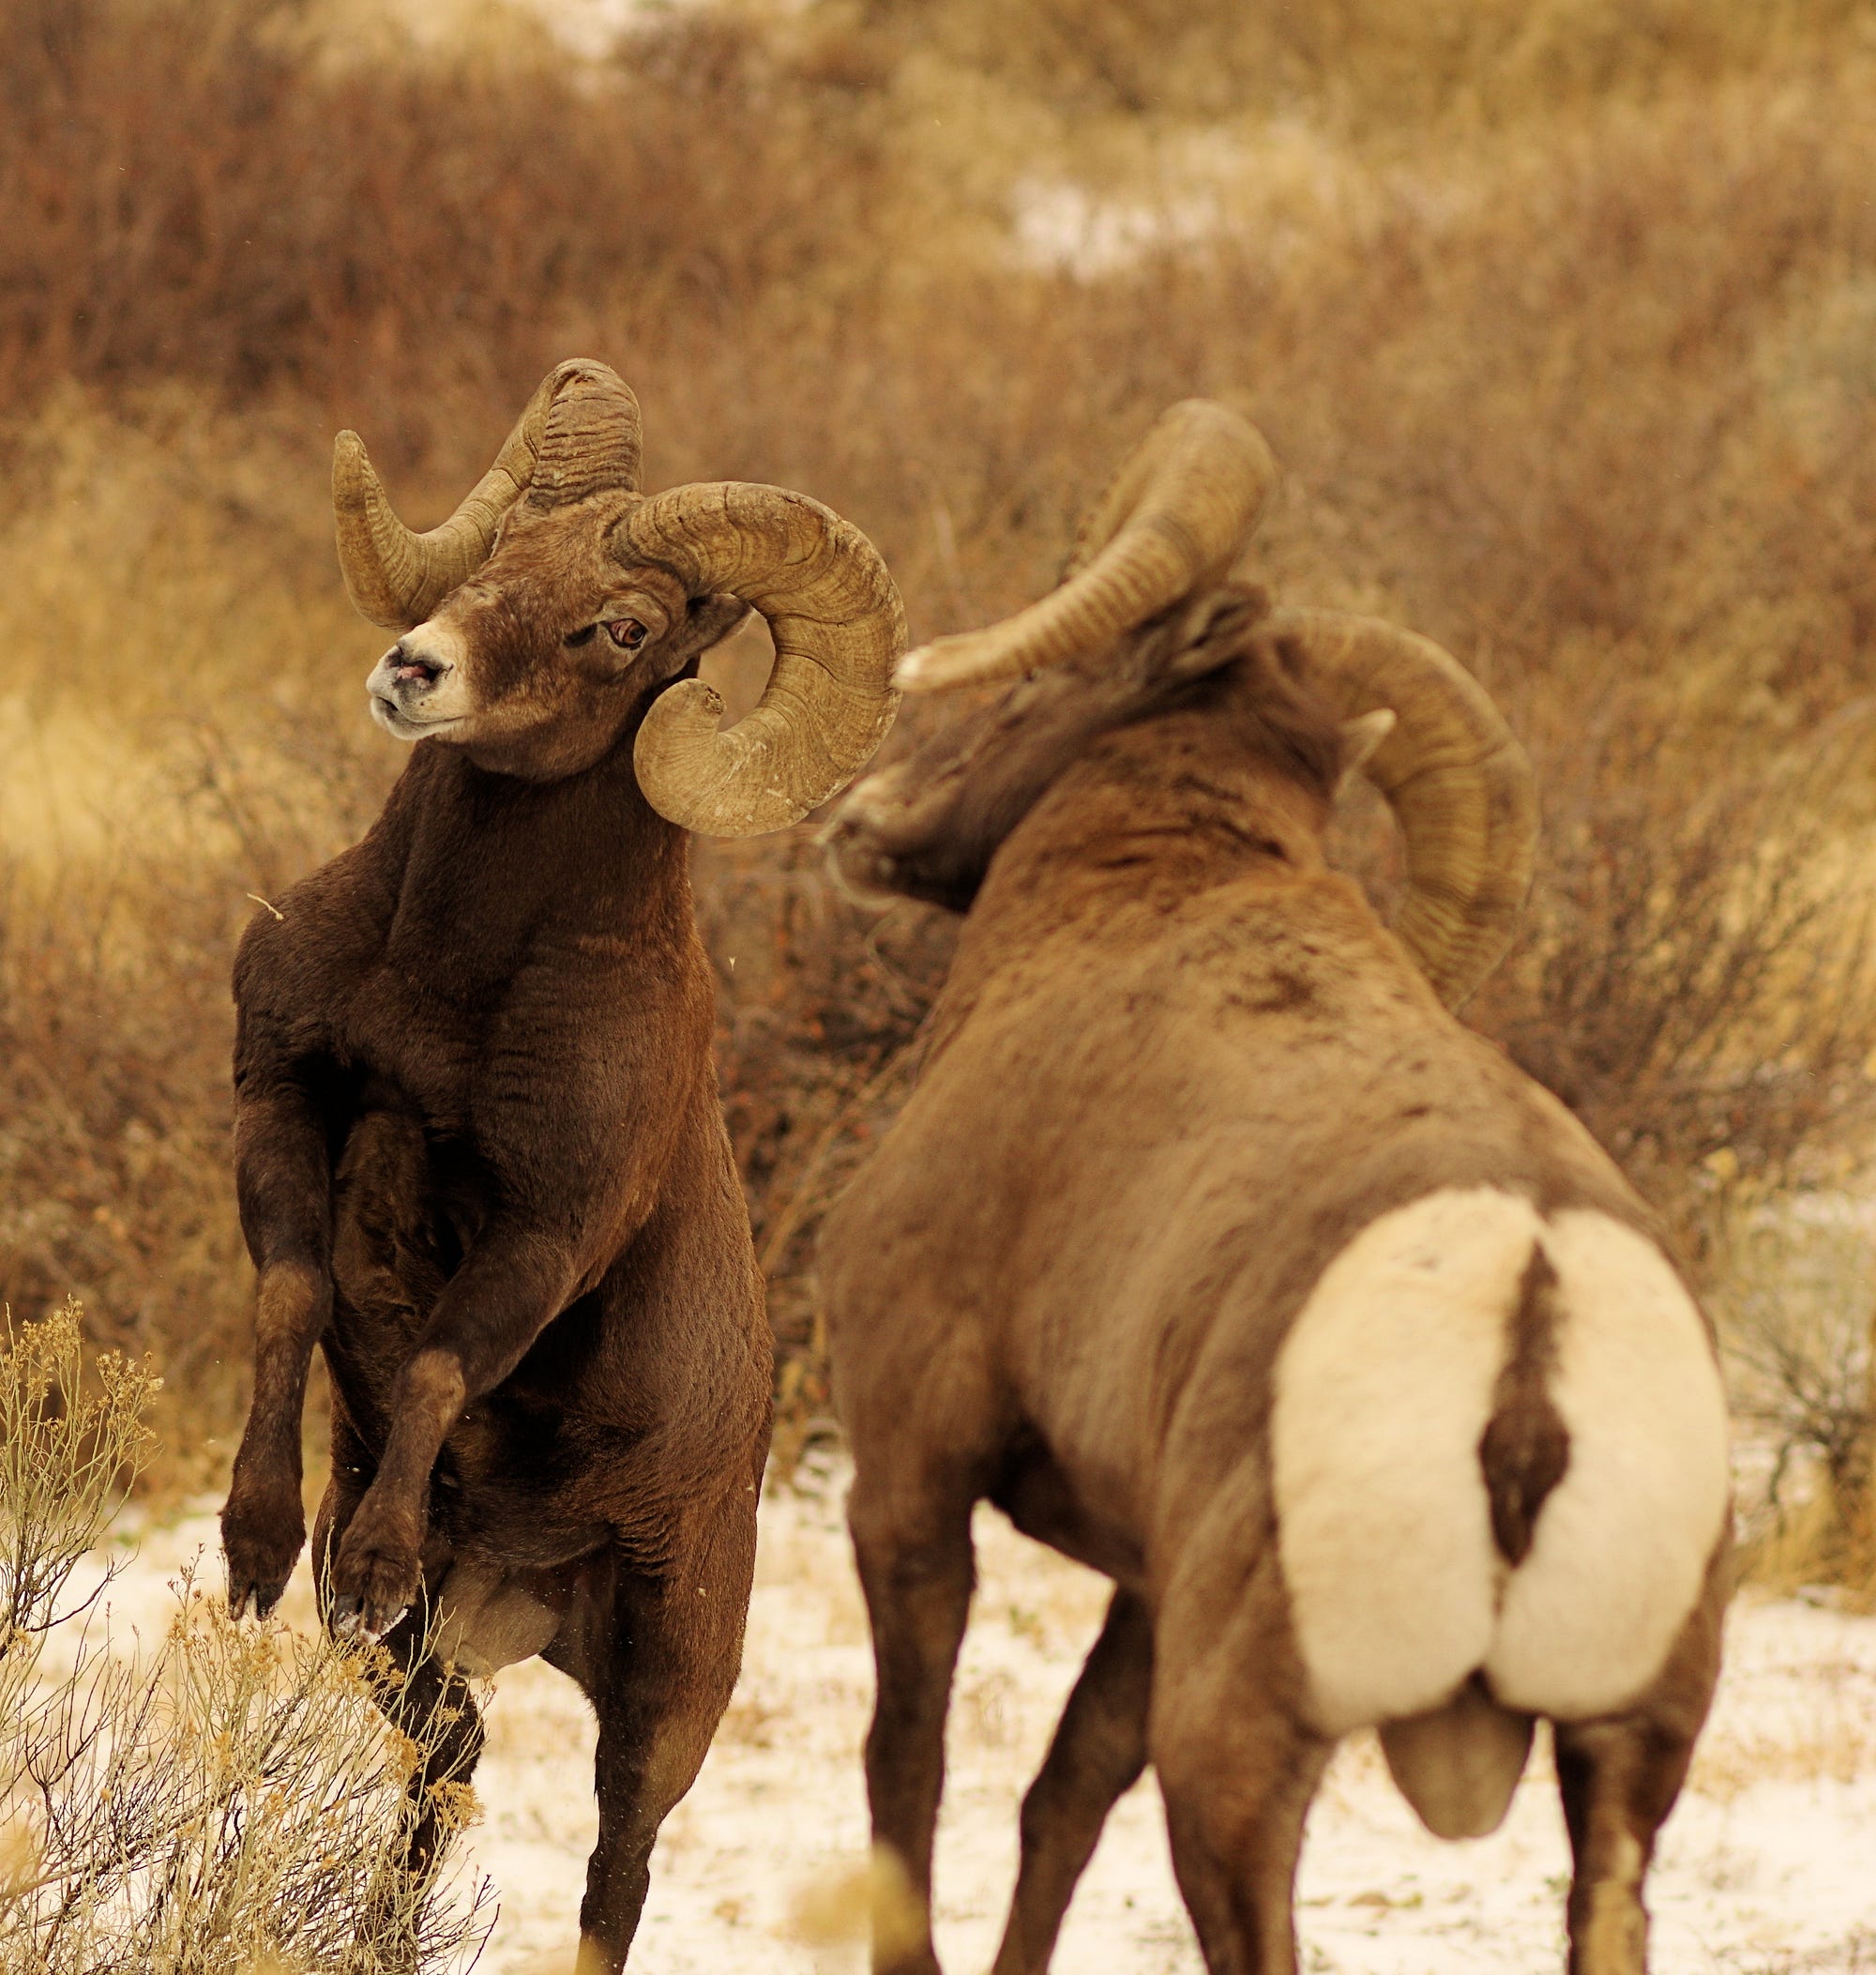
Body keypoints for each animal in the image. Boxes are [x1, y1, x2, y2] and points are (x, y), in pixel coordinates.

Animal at [217, 358, 904, 1973]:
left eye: (625, 626)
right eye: (502, 558)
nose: (415, 671)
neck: (444, 984)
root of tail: (516, 1612)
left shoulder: (548, 1231)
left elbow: (436, 1364)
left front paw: (380, 1557)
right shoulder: (279, 1098)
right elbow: (292, 1296)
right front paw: (256, 1546)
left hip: (668, 1684)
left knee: (616, 1865)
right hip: (431, 1674)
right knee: (448, 1759)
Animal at [818, 400, 1730, 1975]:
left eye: (1035, 682)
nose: (866, 820)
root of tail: (1530, 1321)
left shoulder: (912, 1468)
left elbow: (909, 1773)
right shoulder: (1143, 1580)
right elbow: (1065, 1793)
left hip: (1240, 1754)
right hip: (1621, 1771)